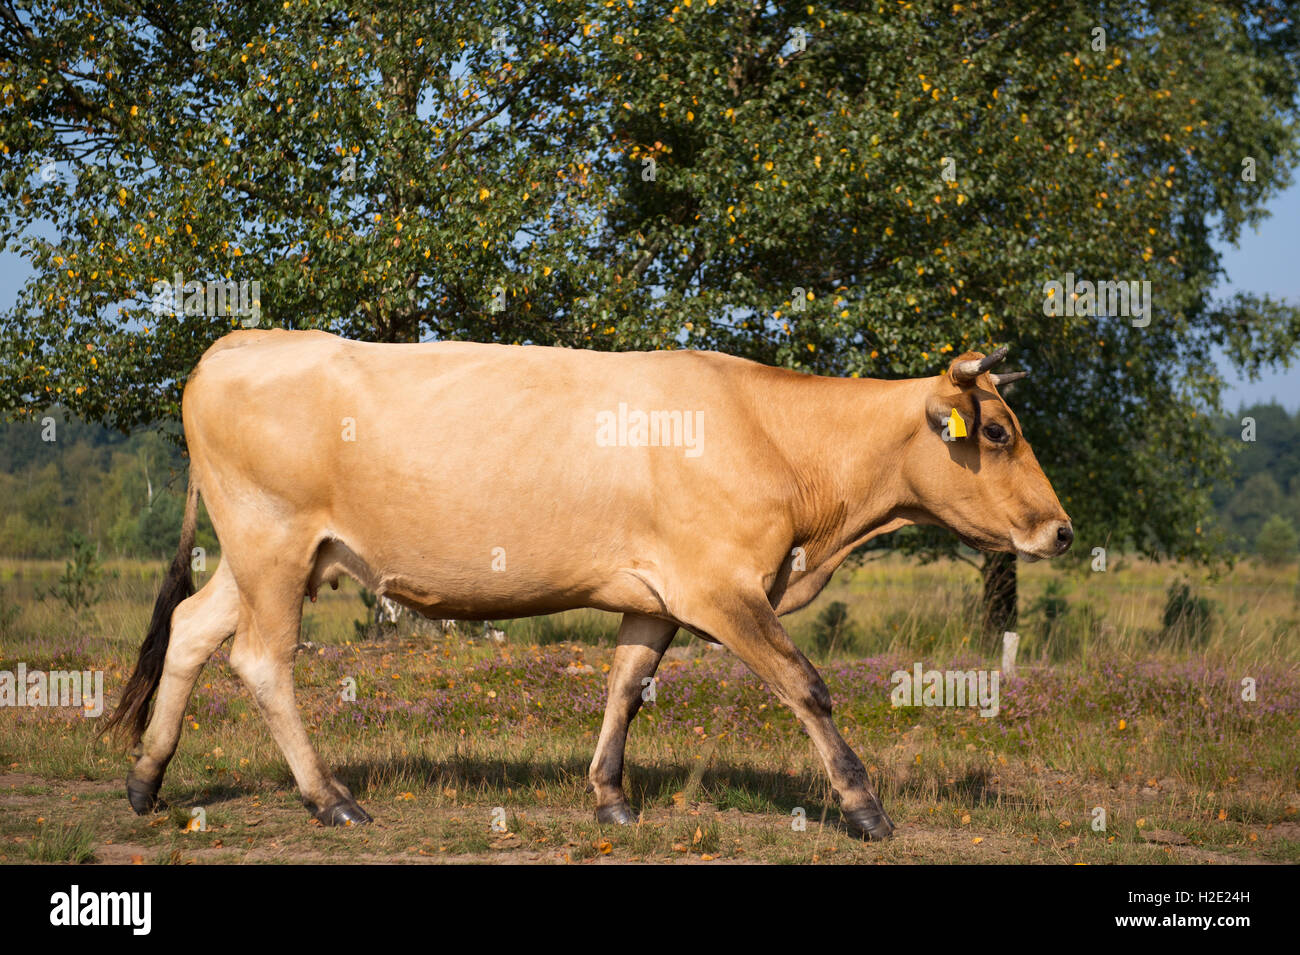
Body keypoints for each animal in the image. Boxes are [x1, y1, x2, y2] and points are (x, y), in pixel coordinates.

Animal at [104, 329, 1072, 840]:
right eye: (995, 430)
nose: (1060, 528)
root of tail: (239, 340)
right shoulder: (721, 585)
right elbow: (807, 684)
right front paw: (865, 806)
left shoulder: (656, 596)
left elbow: (625, 688)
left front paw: (610, 795)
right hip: (271, 542)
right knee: (261, 659)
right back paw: (329, 797)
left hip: (263, 554)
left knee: (191, 628)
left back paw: (148, 781)